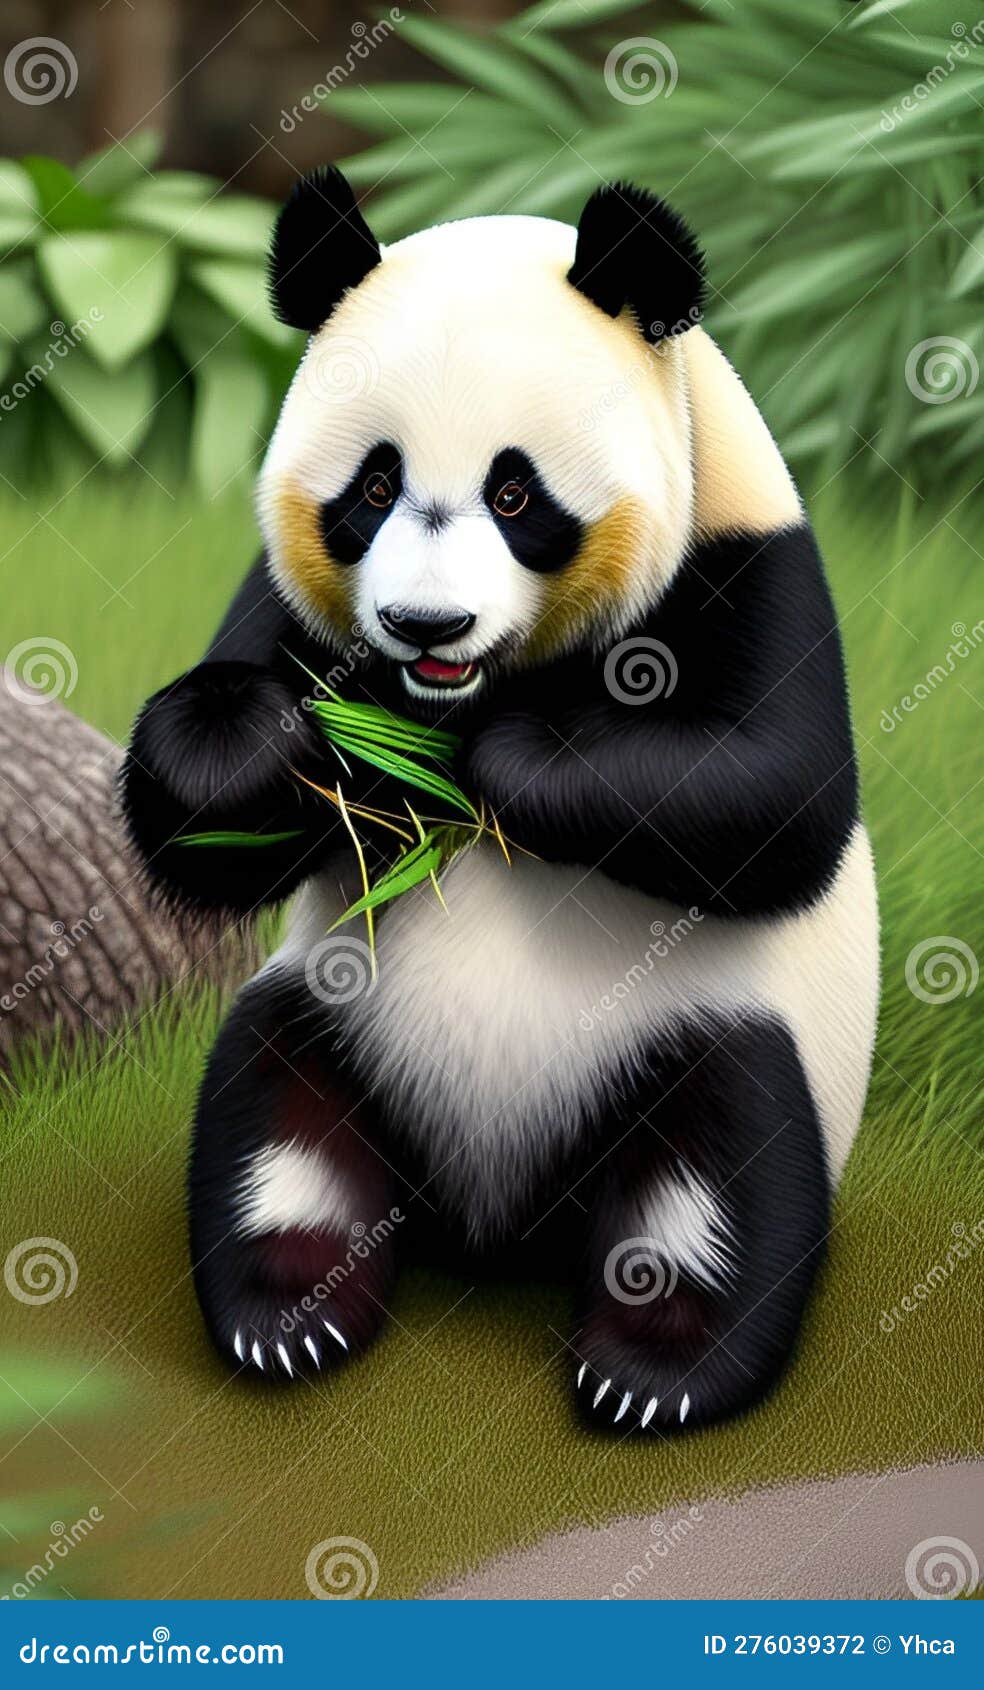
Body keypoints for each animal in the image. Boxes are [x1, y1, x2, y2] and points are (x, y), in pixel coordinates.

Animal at [122, 167, 879, 1435]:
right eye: (373, 487)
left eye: (516, 492)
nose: (425, 626)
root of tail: (494, 1218)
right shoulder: (292, 604)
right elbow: (205, 832)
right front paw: (279, 745)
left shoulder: (749, 556)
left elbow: (777, 797)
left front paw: (497, 760)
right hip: (339, 1009)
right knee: (270, 1099)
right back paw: (289, 1302)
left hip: (708, 1030)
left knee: (727, 1152)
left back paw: (657, 1364)